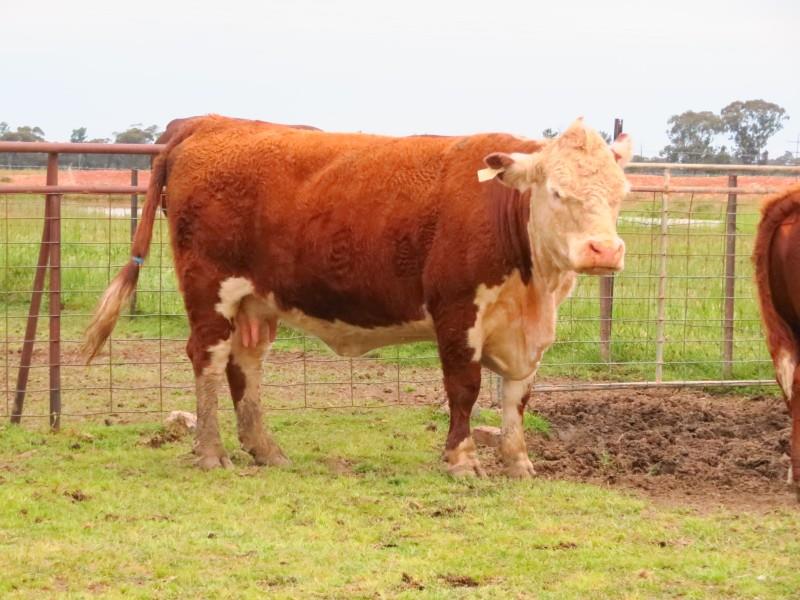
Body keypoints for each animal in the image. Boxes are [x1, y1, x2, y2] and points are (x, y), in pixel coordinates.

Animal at [83, 115, 632, 477]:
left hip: (254, 301)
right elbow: (465, 388)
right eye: (556, 192)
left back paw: (266, 450)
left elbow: (518, 396)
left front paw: (519, 463)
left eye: (622, 193)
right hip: (209, 289)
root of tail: (208, 123)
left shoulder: (527, 331)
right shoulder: (456, 312)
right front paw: (462, 460)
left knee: (245, 367)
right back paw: (212, 452)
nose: (604, 249)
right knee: (208, 360)